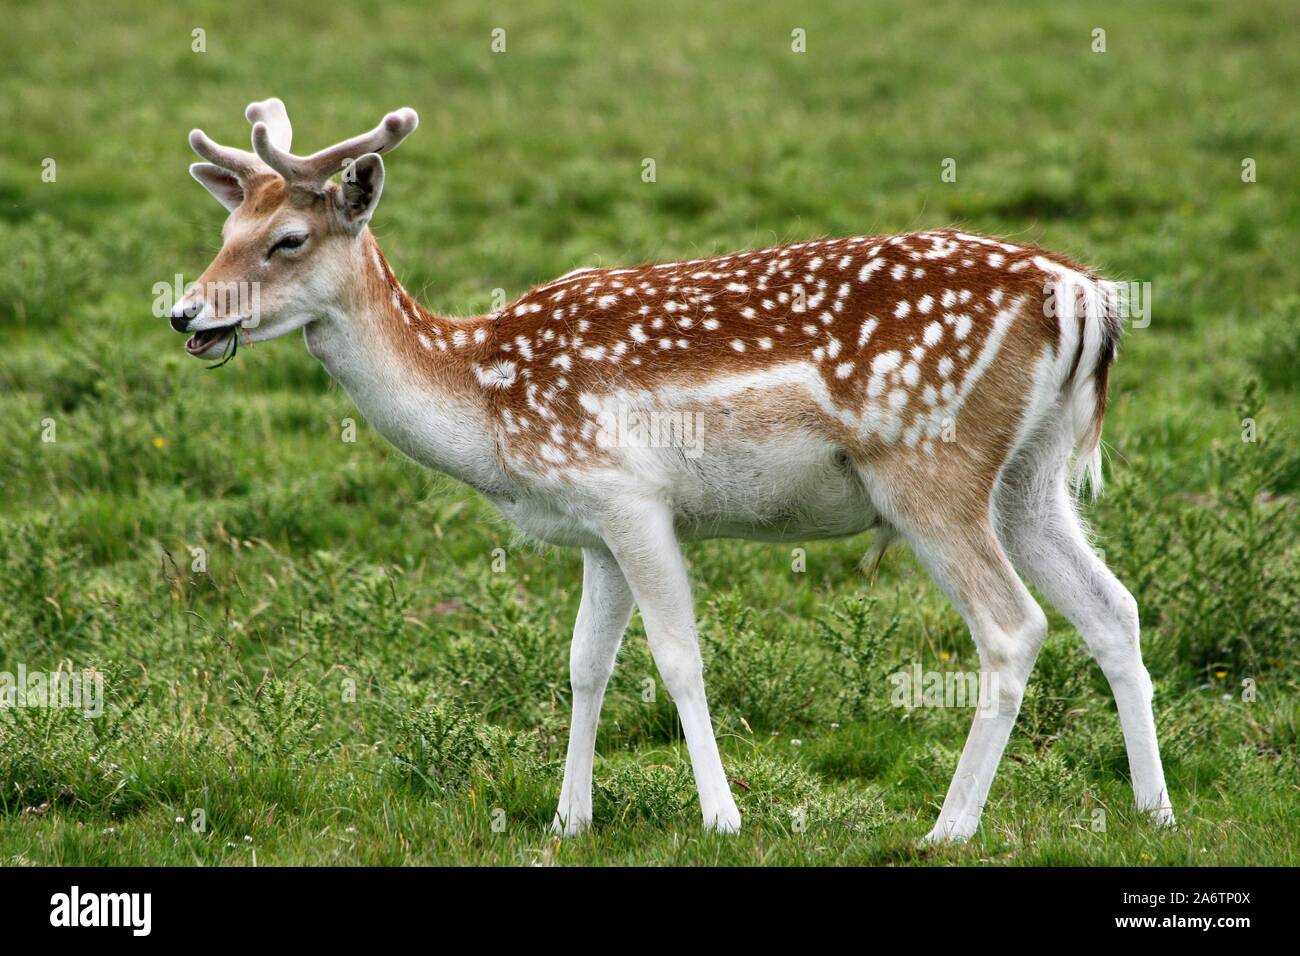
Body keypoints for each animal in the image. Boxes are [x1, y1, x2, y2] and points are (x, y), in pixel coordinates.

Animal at [172, 98, 1173, 842]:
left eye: (288, 240)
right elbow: (585, 664)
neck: (489, 408)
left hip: (929, 465)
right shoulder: (592, 528)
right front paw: (568, 821)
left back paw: (948, 828)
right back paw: (1153, 811)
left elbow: (678, 657)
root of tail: (1084, 295)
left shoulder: (631, 498)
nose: (186, 314)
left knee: (1013, 628)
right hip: (1029, 478)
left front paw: (723, 818)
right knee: (1113, 609)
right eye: (226, 226)